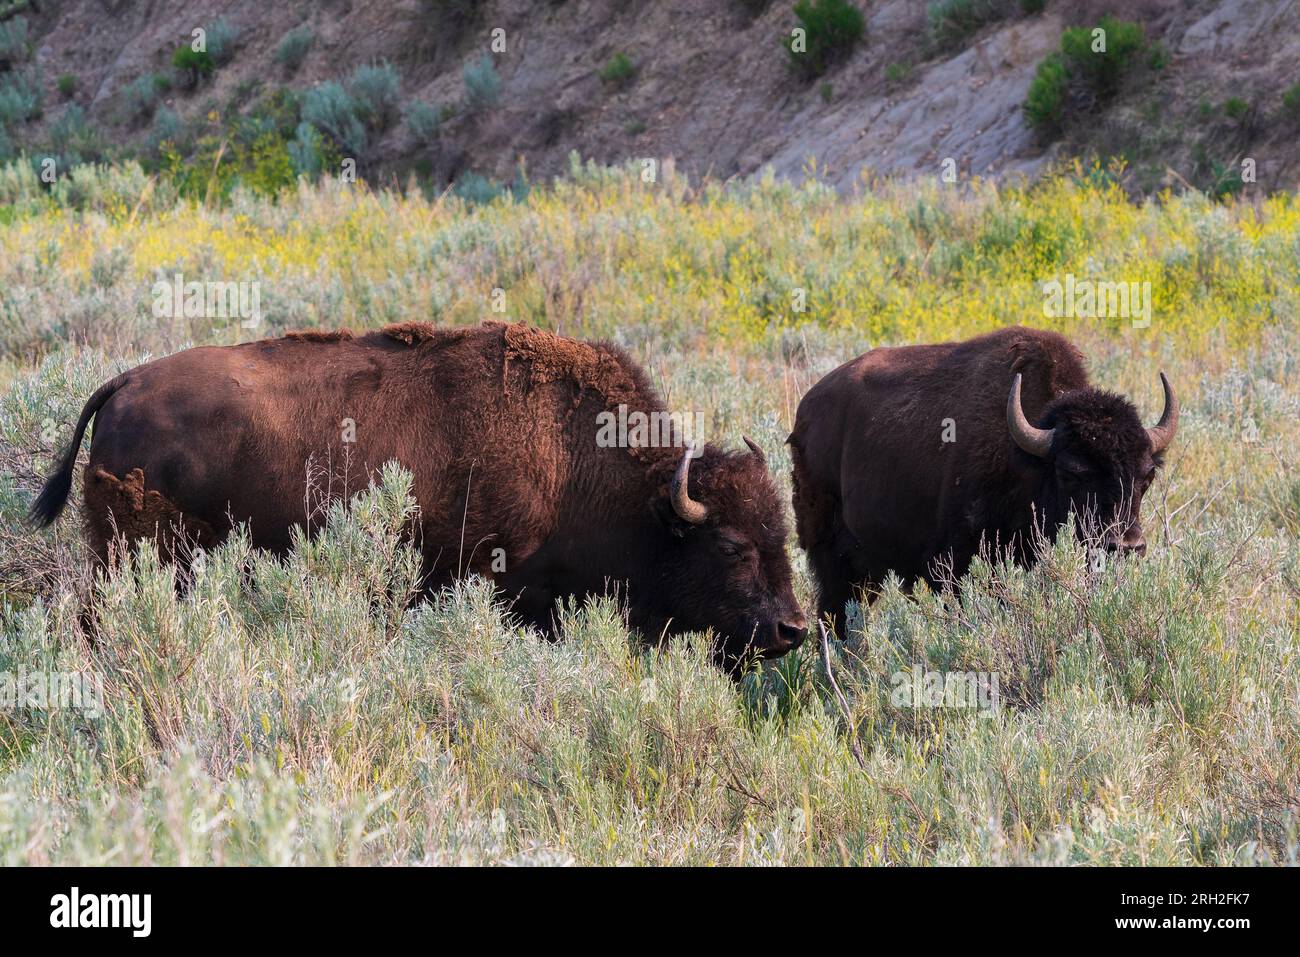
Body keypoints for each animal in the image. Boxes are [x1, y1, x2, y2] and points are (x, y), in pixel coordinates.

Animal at [788, 326, 1178, 634]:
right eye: (1071, 472)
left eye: (1147, 474)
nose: (1125, 545)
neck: (1026, 460)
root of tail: (806, 411)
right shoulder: (955, 566)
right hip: (831, 554)